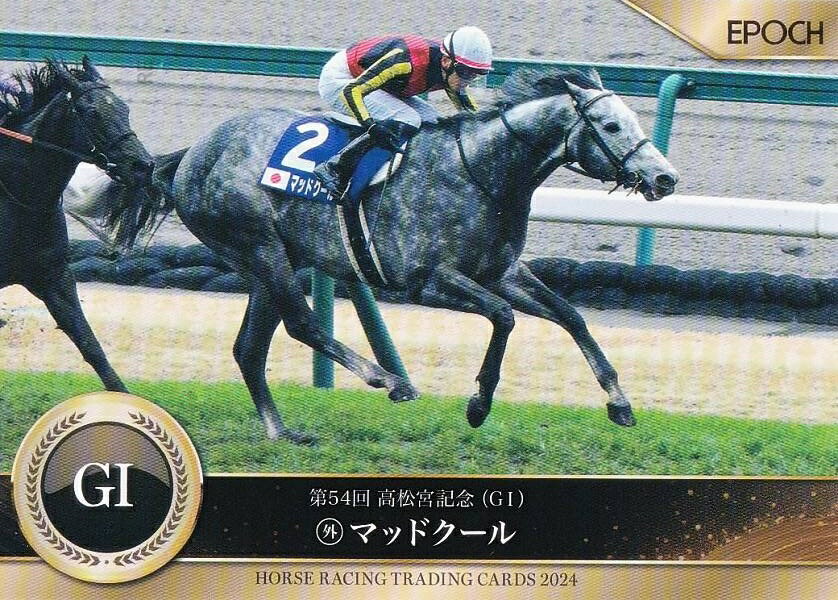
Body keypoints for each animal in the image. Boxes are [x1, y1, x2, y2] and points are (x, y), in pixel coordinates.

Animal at [115, 67, 678, 443]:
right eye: (610, 126)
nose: (665, 178)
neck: (484, 171)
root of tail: (192, 154)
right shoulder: (428, 280)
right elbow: (503, 318)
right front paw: (478, 403)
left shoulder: (501, 271)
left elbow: (571, 316)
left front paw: (620, 403)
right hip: (261, 249)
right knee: (302, 324)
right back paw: (388, 379)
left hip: (277, 260)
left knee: (250, 349)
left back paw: (283, 432)